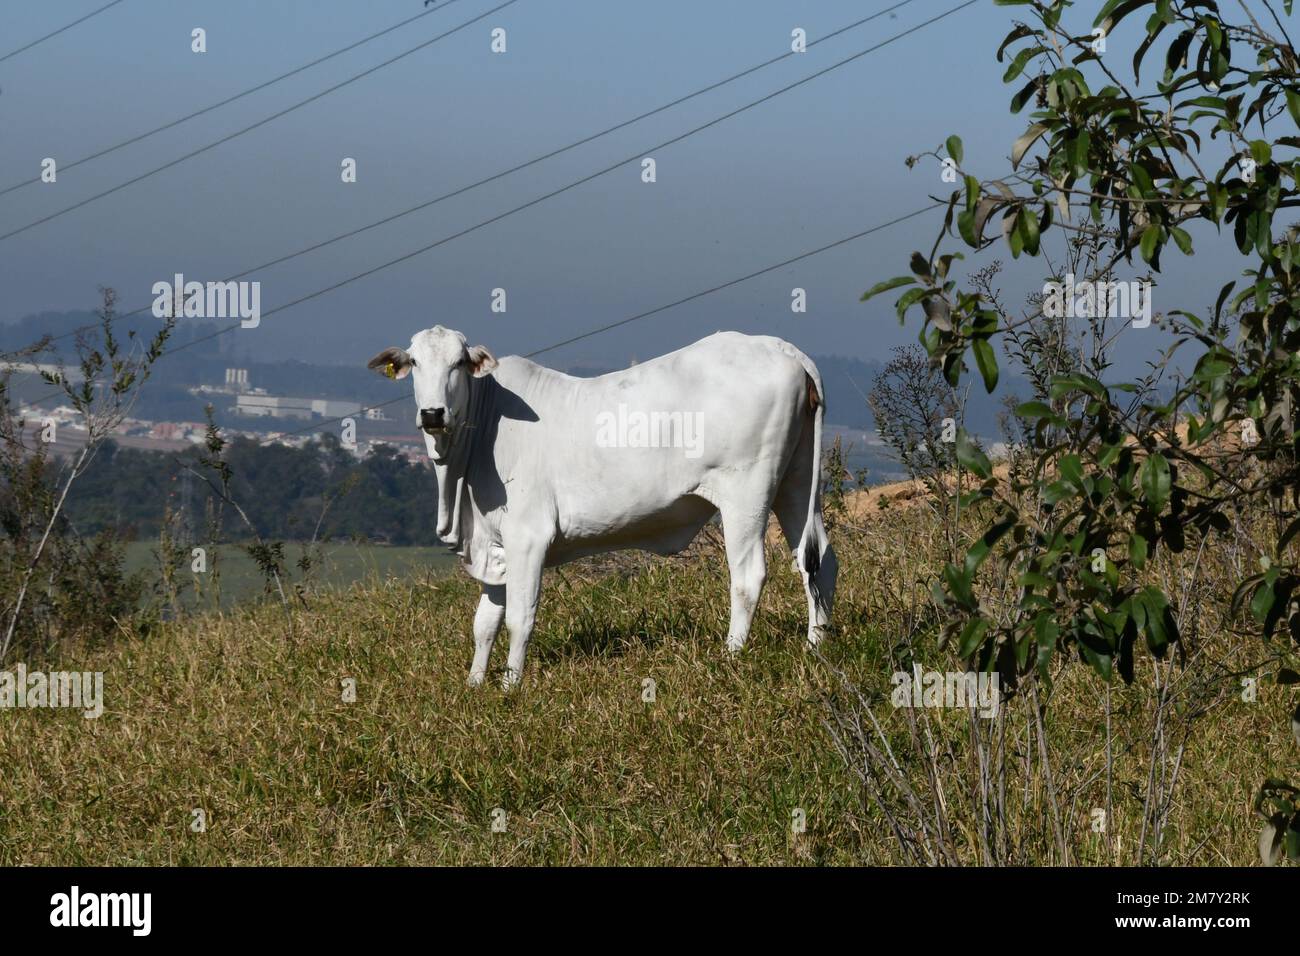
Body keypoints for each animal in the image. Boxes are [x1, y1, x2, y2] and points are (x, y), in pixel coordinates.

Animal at [368, 326, 837, 688]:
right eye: (414, 363)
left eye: (458, 363)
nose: (433, 413)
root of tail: (780, 348)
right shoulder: (494, 544)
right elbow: (484, 623)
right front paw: (474, 684)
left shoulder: (527, 538)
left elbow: (519, 616)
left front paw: (510, 686)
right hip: (795, 484)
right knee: (819, 562)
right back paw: (816, 645)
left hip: (747, 494)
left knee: (748, 576)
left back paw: (731, 656)